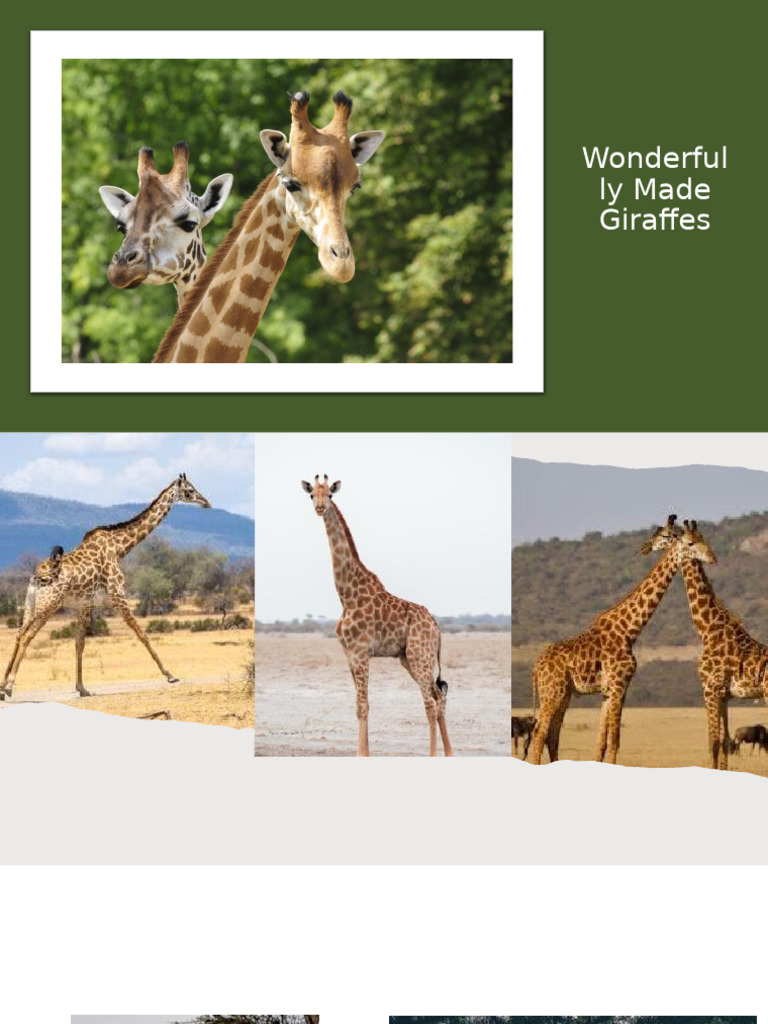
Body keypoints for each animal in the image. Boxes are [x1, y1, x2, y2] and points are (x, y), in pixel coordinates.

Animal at [0, 474, 211, 701]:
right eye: (190, 490)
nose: (206, 502)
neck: (120, 548)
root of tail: (37, 576)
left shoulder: (85, 605)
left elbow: (79, 643)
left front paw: (82, 688)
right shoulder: (118, 596)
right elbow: (142, 634)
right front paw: (170, 675)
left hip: (30, 604)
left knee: (19, 634)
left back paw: (3, 686)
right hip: (49, 604)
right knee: (27, 636)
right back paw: (9, 686)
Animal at [301, 475, 452, 757]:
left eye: (330, 495)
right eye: (311, 495)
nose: (320, 508)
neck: (347, 594)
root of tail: (437, 628)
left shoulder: (361, 651)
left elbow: (363, 705)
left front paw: (362, 754)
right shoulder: (349, 654)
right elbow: (360, 704)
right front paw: (364, 752)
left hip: (420, 655)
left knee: (430, 701)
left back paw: (435, 754)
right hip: (408, 658)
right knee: (438, 695)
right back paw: (450, 753)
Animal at [529, 516, 717, 765]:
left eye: (702, 537)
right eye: (689, 542)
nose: (713, 557)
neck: (630, 630)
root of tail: (536, 667)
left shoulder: (610, 690)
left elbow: (601, 742)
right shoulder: (619, 684)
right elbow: (615, 740)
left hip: (563, 694)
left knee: (552, 735)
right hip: (552, 692)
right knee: (539, 734)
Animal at [677, 519, 768, 770]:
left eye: (703, 539)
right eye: (691, 542)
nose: (713, 557)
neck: (707, 630)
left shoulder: (710, 689)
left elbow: (713, 742)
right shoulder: (724, 695)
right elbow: (725, 741)